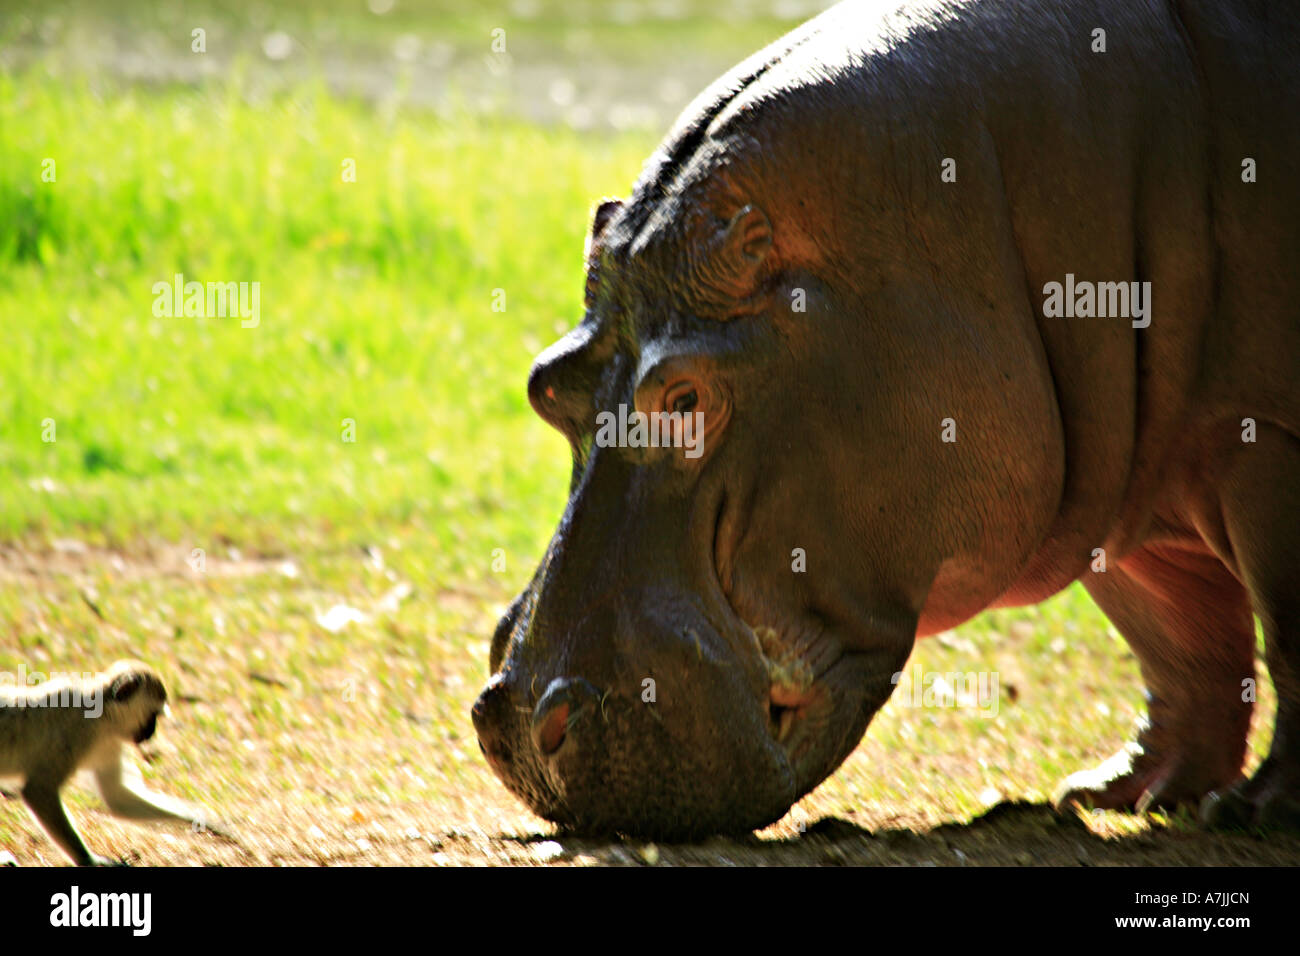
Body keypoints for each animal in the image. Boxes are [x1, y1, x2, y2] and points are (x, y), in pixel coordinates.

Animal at [0, 660, 231, 865]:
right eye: (152, 716)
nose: (151, 732)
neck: (102, 717)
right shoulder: (76, 731)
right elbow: (38, 791)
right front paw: (88, 860)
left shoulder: (110, 742)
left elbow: (117, 797)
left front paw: (204, 821)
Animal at [472, 0, 1300, 839]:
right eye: (547, 385)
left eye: (684, 401)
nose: (518, 730)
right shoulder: (1115, 464)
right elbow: (1175, 641)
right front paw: (1120, 792)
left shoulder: (1264, 439)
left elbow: (1286, 634)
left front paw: (1254, 811)